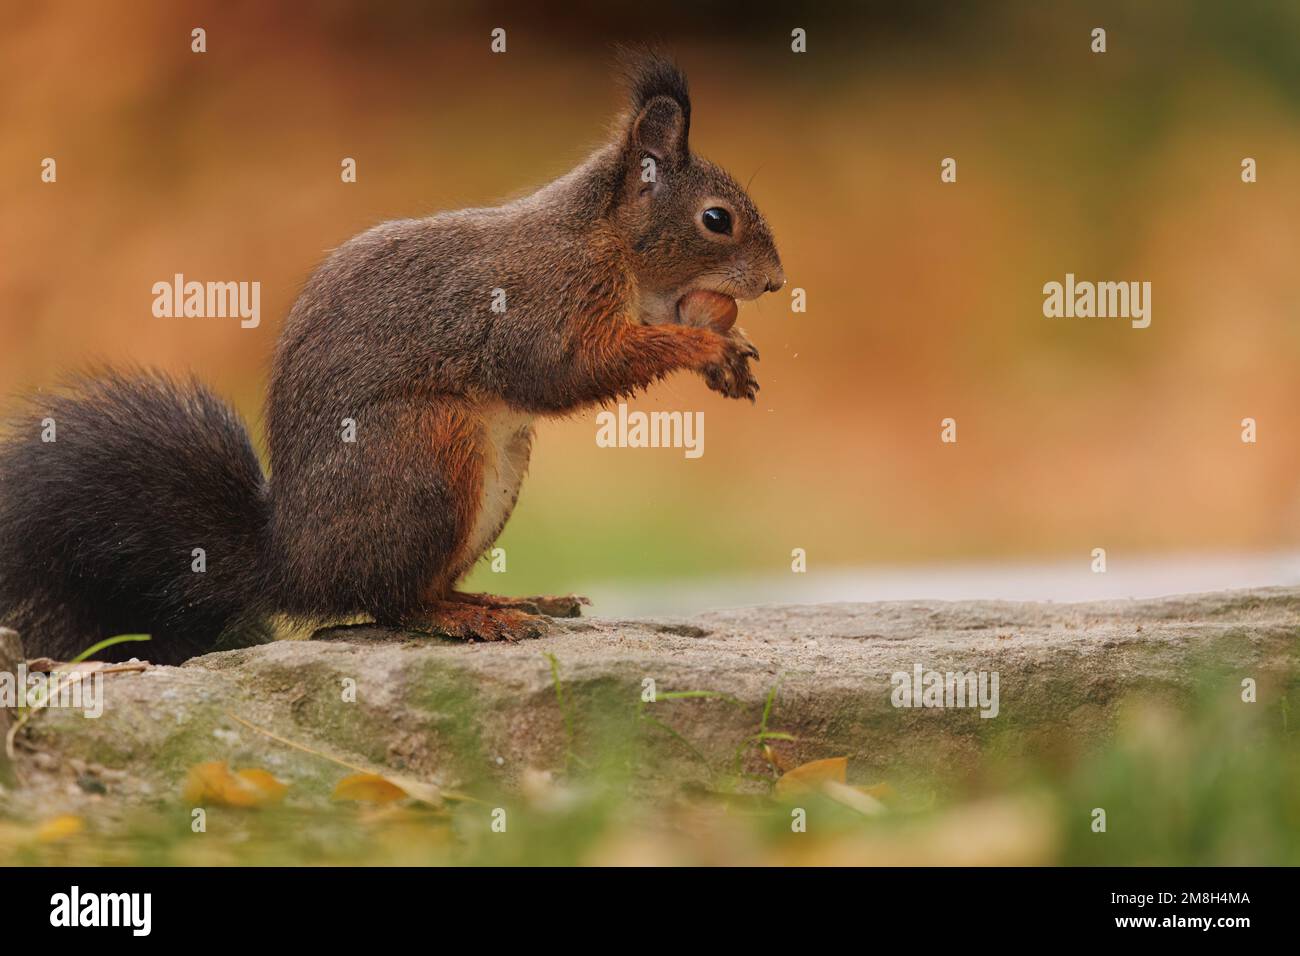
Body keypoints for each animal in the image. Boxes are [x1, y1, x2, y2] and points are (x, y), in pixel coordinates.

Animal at [0, 51, 784, 665]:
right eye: (717, 220)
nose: (777, 283)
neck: (608, 242)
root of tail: (293, 562)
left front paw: (734, 350)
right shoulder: (543, 302)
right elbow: (565, 370)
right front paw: (707, 345)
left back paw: (503, 598)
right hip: (428, 453)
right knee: (388, 601)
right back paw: (465, 617)